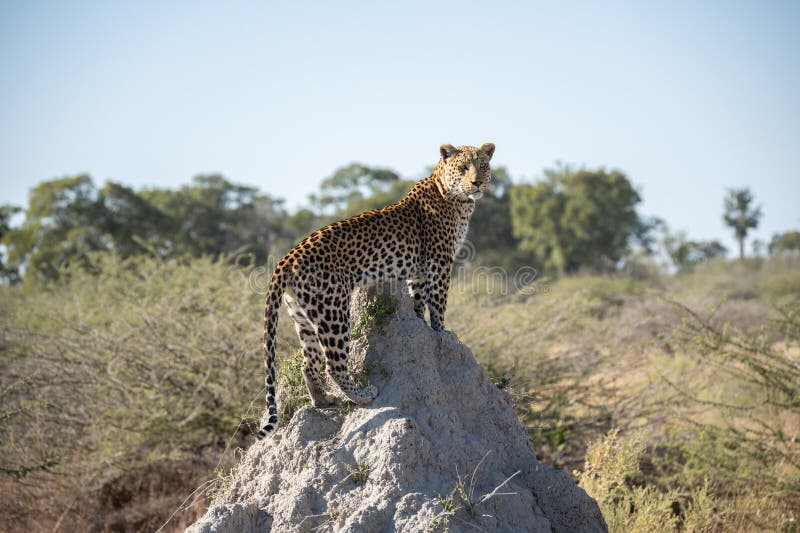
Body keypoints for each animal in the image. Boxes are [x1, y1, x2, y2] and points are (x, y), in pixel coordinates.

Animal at [257, 142, 495, 439]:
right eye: (463, 168)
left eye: (483, 165)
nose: (477, 182)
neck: (455, 198)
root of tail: (287, 257)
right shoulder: (439, 263)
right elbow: (439, 304)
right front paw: (443, 334)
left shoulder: (418, 271)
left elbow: (418, 303)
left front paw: (422, 325)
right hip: (333, 312)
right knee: (334, 365)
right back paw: (362, 396)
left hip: (303, 315)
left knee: (308, 363)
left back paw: (324, 402)